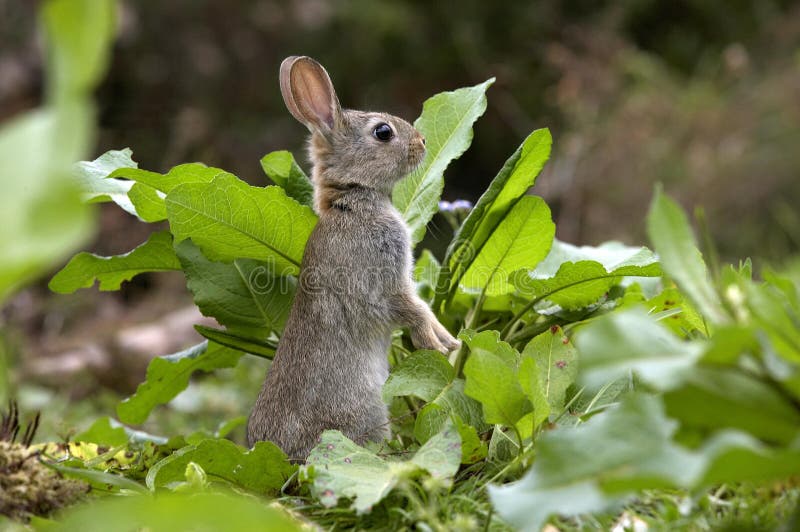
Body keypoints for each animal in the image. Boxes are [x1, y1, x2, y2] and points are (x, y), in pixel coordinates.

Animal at [247, 56, 460, 460]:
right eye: (383, 132)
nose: (422, 142)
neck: (350, 199)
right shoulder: (382, 285)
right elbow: (414, 312)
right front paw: (439, 346)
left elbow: (425, 309)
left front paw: (451, 342)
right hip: (366, 409)